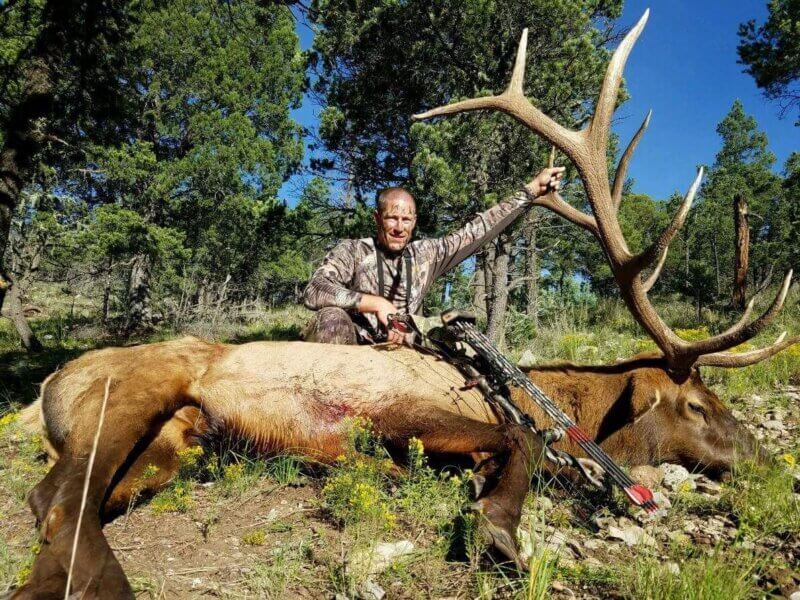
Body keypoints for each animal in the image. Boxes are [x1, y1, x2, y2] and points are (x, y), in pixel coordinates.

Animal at [11, 10, 799, 599]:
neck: (558, 404)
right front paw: (497, 535)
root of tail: (46, 385)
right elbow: (516, 447)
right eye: (696, 404)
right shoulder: (402, 412)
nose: (765, 458)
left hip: (174, 443)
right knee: (56, 500)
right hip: (133, 389)